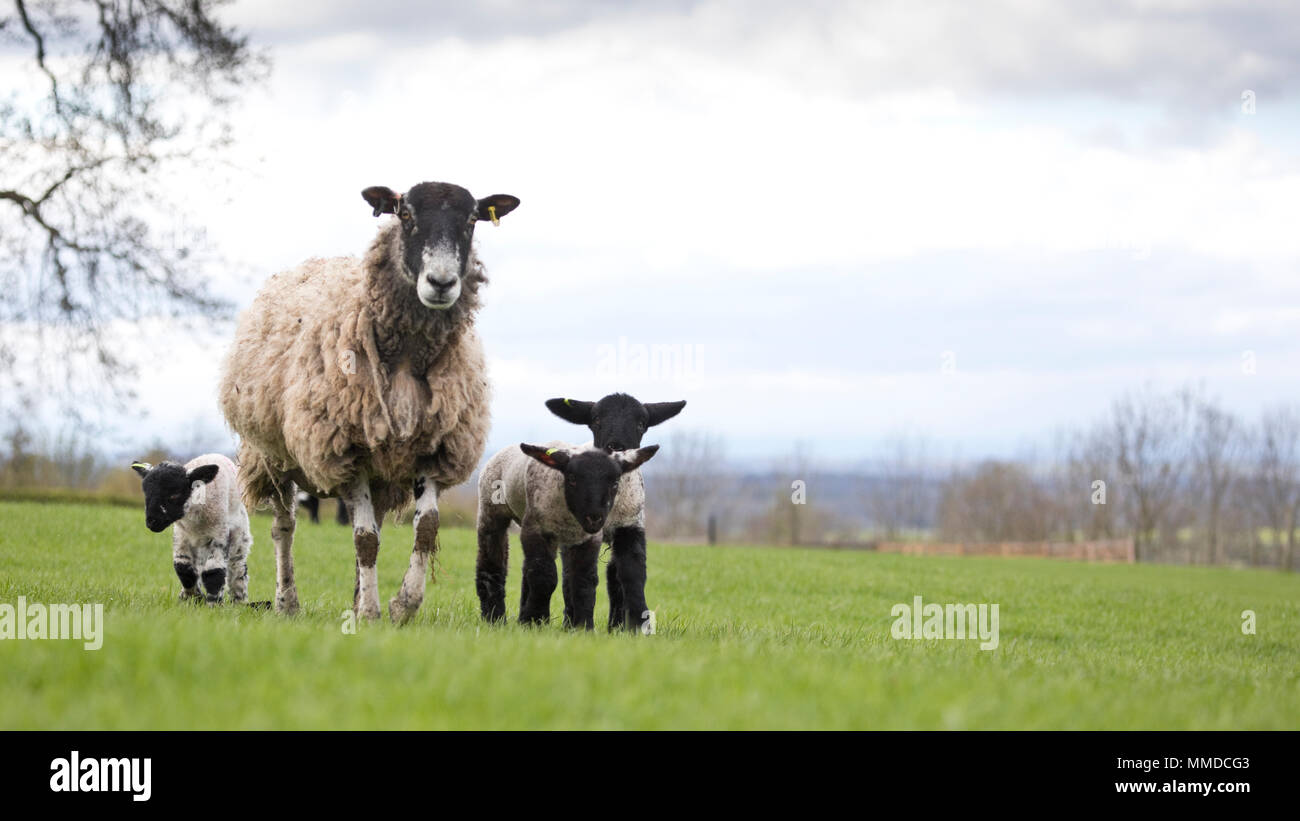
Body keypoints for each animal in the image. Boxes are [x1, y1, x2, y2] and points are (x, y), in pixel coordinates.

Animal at [131, 454, 253, 606]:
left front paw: (213, 604)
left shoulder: (219, 534)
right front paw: (193, 597)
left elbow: (214, 571)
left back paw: (239, 602)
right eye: (146, 494)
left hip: (239, 536)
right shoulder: (181, 536)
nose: (152, 522)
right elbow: (183, 568)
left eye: (175, 495)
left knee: (238, 569)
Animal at [218, 181, 519, 621]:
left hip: (380, 473)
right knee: (284, 528)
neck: (408, 357)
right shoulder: (345, 450)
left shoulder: (434, 448)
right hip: (273, 457)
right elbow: (364, 539)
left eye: (471, 220)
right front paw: (373, 614)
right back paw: (288, 601)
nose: (441, 282)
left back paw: (357, 597)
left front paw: (402, 605)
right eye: (405, 215)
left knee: (369, 524)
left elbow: (423, 530)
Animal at [476, 441, 659, 630]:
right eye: (572, 479)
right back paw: (494, 618)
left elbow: (592, 579)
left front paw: (586, 626)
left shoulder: (606, 533)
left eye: (615, 483)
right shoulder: (536, 529)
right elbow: (544, 576)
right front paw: (535, 620)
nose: (595, 518)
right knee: (492, 564)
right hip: (492, 511)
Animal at [542, 392, 684, 629]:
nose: (618, 448)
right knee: (569, 573)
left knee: (613, 574)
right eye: (596, 419)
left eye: (641, 423)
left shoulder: (630, 525)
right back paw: (571, 620)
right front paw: (581, 623)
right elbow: (580, 574)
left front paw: (639, 624)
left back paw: (615, 625)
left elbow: (632, 572)